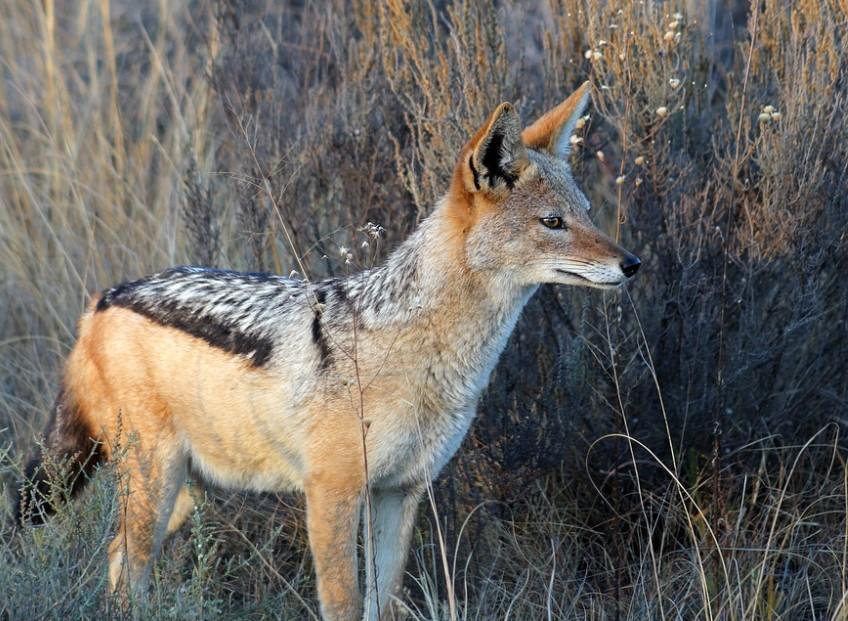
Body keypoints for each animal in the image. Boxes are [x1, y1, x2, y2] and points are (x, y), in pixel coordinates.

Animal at [16, 81, 640, 621]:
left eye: (587, 211)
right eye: (553, 222)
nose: (632, 264)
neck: (430, 359)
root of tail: (103, 298)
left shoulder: (400, 493)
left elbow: (382, 602)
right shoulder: (331, 495)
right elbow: (342, 604)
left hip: (182, 496)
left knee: (116, 560)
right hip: (154, 485)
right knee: (126, 573)